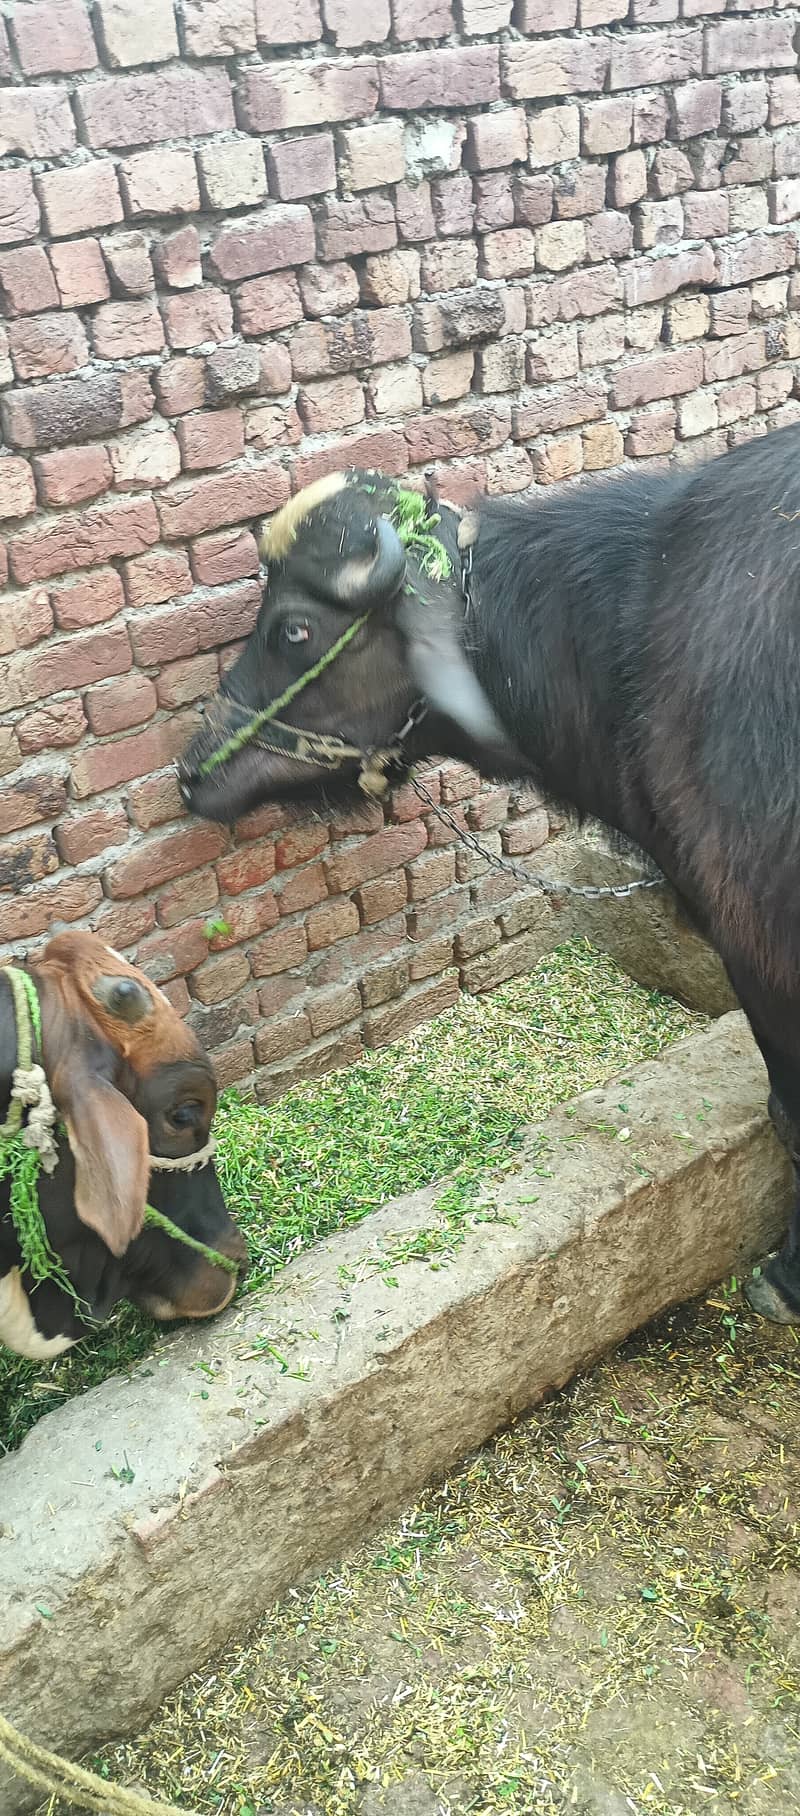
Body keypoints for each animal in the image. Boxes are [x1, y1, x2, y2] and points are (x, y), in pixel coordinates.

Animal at [178, 427, 800, 1327]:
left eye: (293, 630)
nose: (192, 772)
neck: (631, 627)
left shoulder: (759, 949)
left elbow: (789, 1109)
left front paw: (786, 1277)